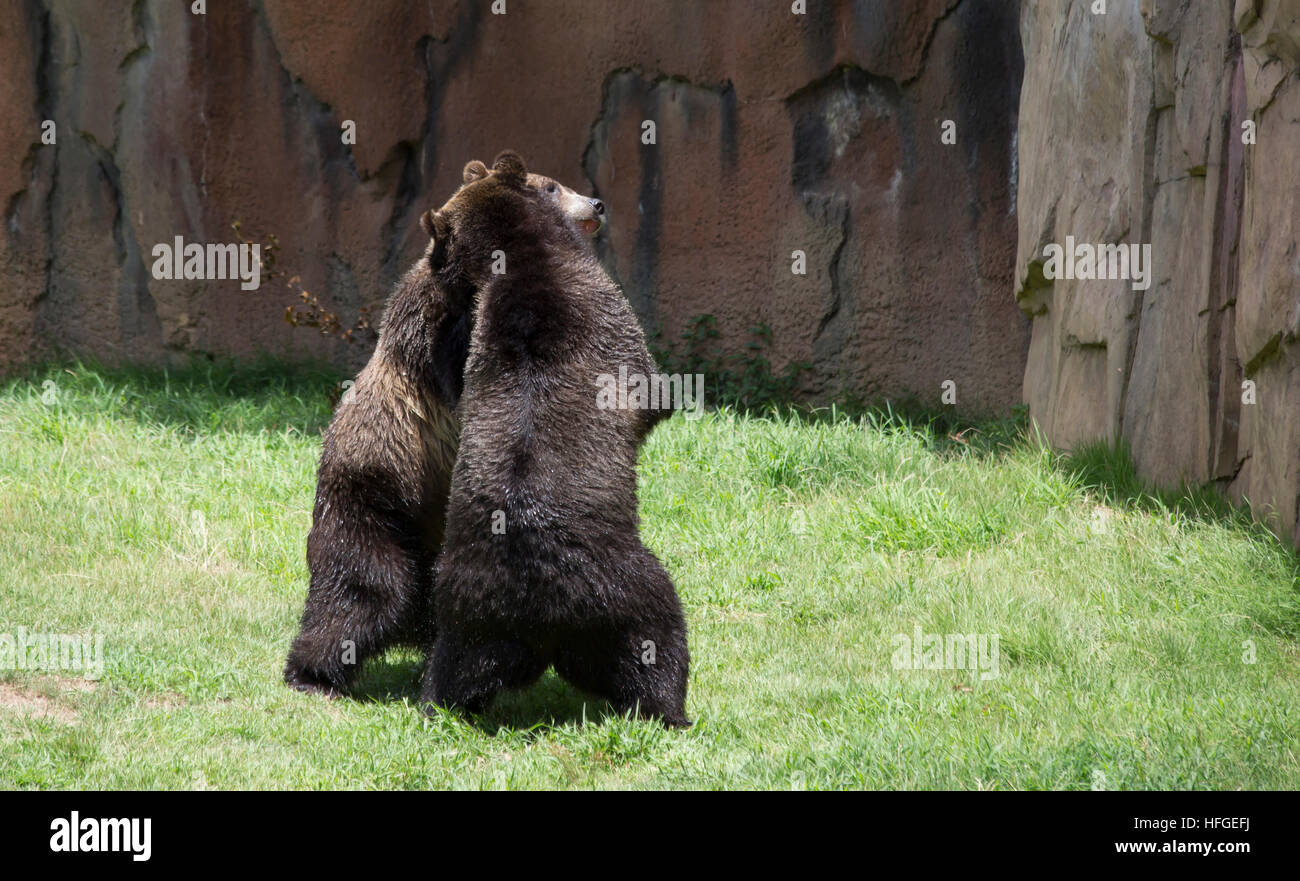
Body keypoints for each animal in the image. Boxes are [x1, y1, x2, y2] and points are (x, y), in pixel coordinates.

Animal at [283, 162, 606, 697]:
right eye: (551, 186)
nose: (597, 204)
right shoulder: (436, 338)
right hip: (377, 505)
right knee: (358, 593)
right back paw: (312, 672)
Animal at [416, 151, 690, 727]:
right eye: (553, 184)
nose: (599, 203)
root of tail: (537, 616)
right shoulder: (604, 315)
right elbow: (651, 388)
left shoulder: (474, 345)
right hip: (622, 590)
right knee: (658, 637)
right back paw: (672, 710)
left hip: (464, 607)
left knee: (452, 667)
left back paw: (434, 703)